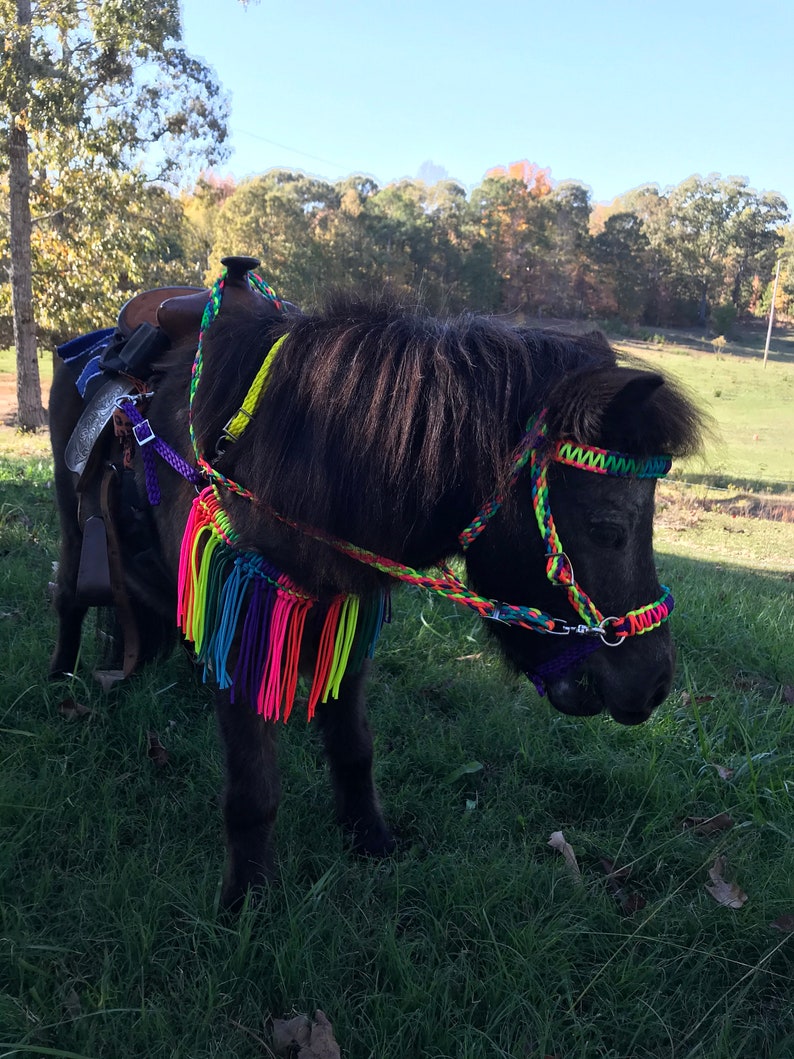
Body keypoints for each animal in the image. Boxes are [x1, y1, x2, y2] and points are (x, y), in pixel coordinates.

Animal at [48, 261, 702, 909]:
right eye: (608, 527)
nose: (655, 684)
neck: (289, 450)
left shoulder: (346, 614)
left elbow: (353, 745)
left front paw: (369, 839)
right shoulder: (246, 612)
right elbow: (254, 783)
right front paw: (249, 896)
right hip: (74, 521)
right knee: (68, 600)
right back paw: (60, 680)